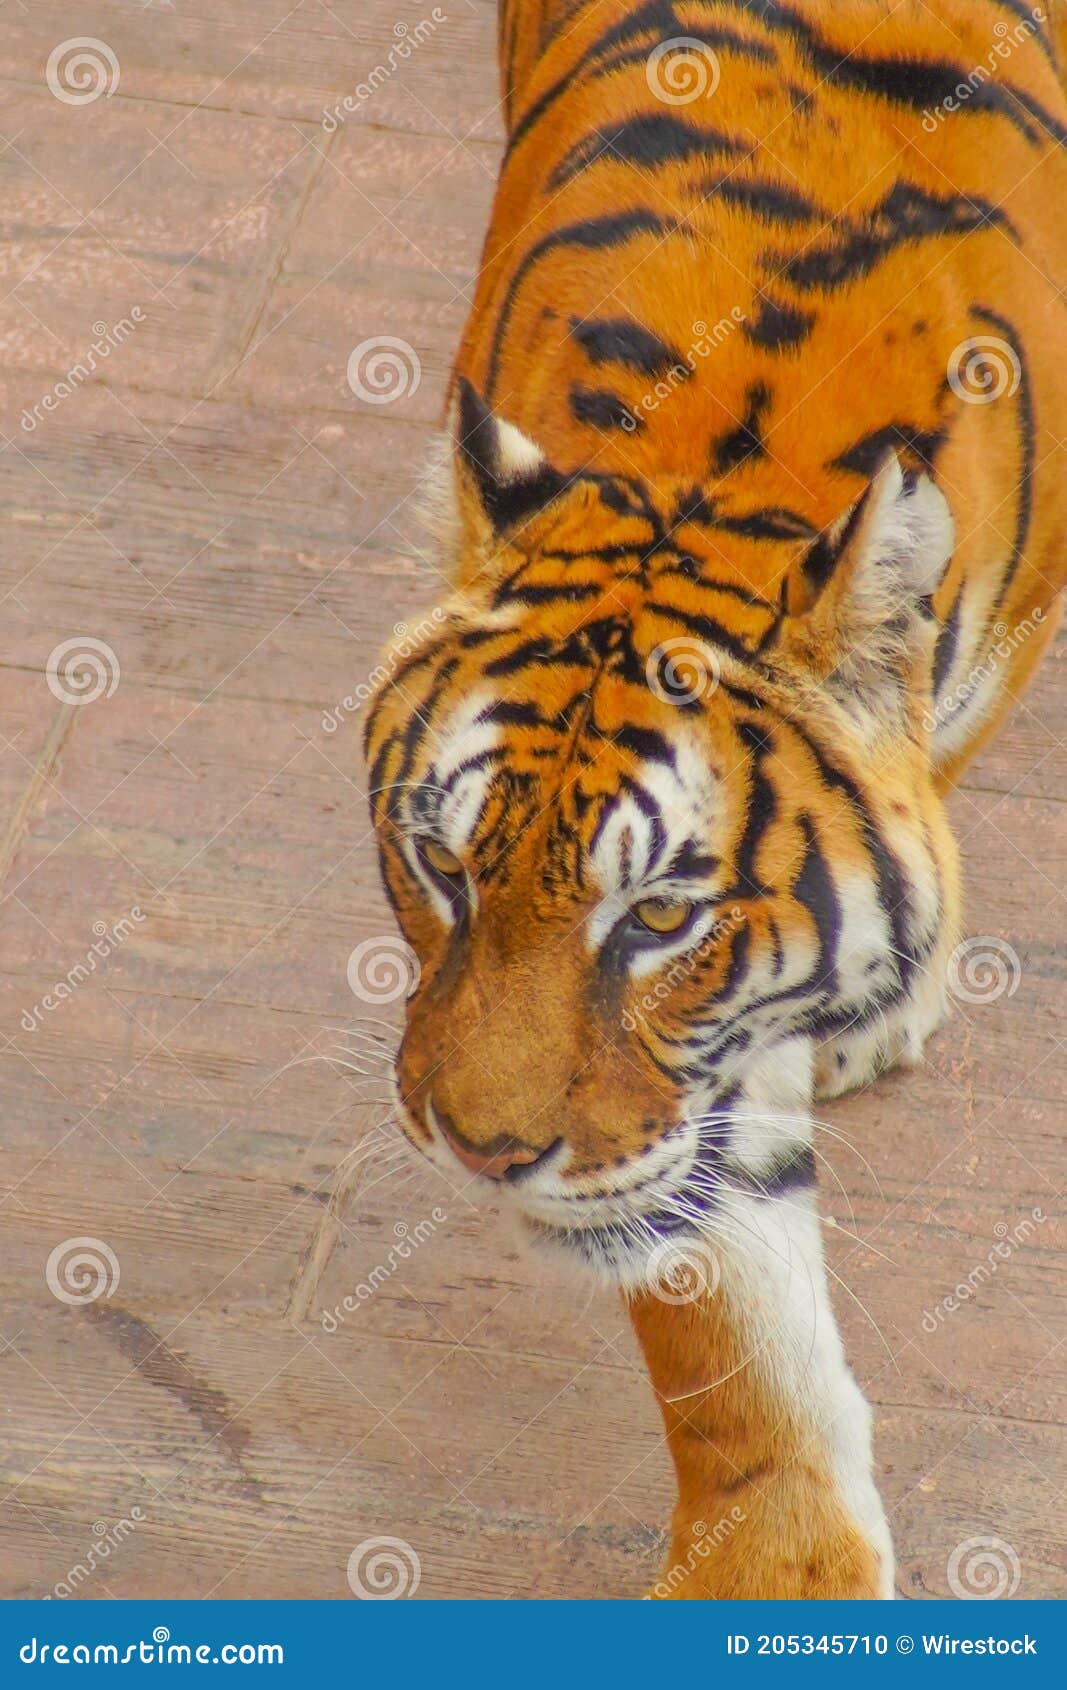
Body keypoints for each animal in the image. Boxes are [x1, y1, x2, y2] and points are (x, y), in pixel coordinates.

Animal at [364, 0, 1067, 1599]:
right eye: (440, 864)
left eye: (658, 918)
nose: (483, 1152)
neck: (710, 458)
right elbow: (715, 1297)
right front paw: (776, 1565)